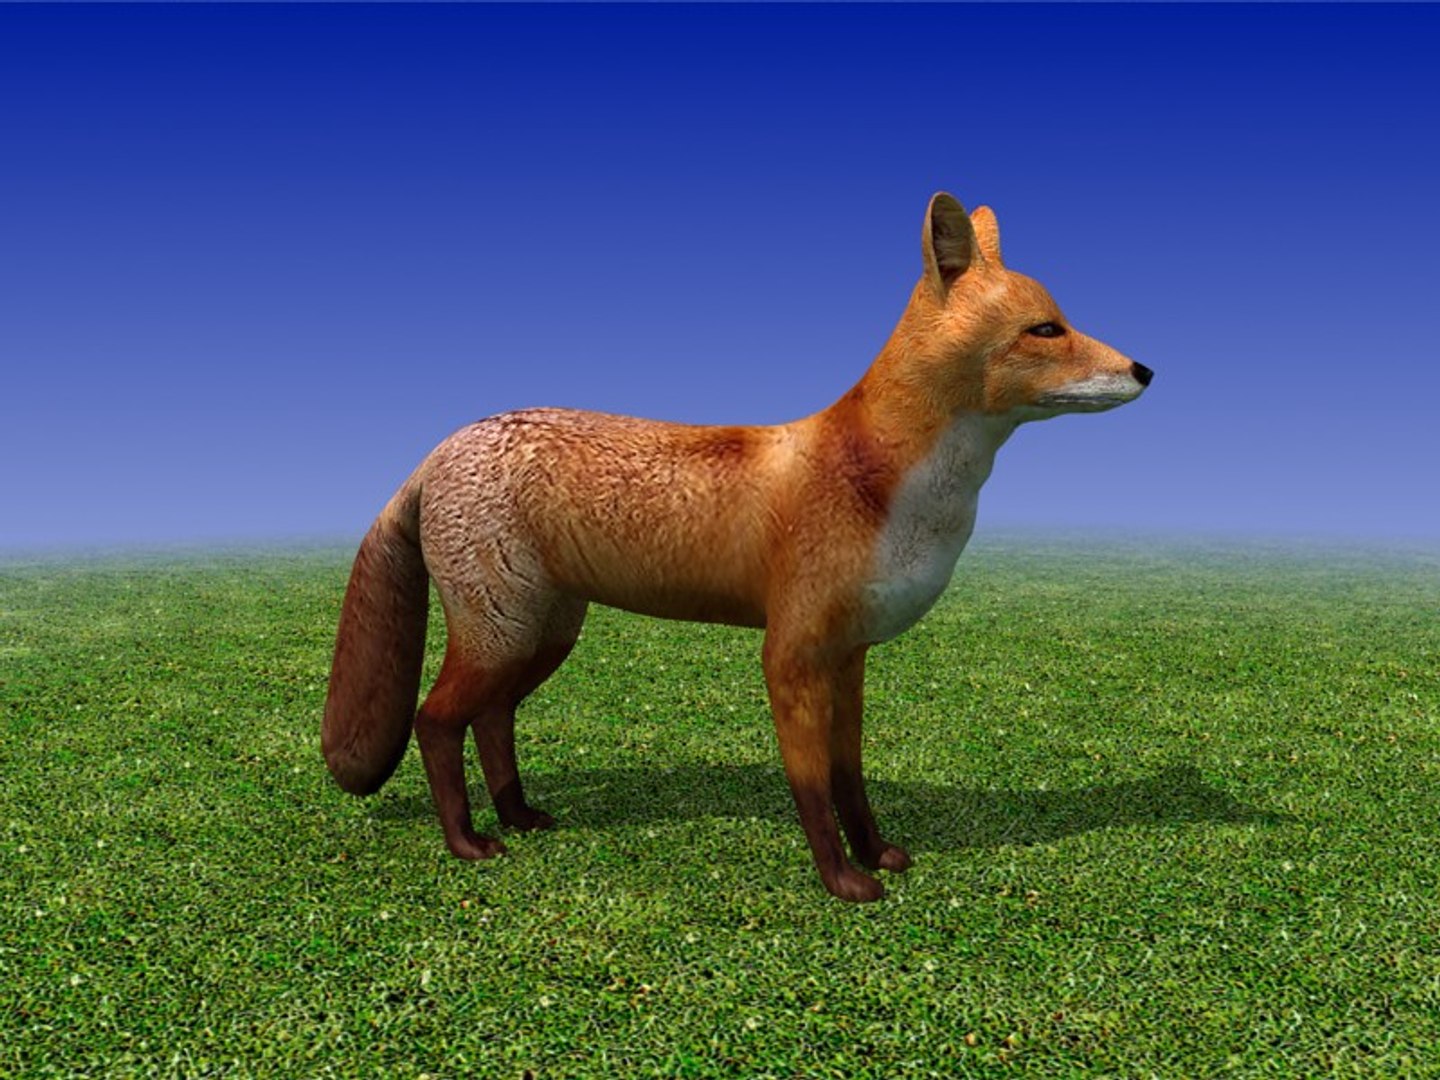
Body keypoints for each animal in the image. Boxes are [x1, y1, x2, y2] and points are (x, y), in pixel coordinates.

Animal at [322, 192, 1152, 902]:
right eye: (1047, 329)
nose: (1144, 368)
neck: (883, 480)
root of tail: (445, 444)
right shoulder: (790, 654)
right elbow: (812, 786)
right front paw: (842, 882)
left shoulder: (848, 655)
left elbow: (851, 777)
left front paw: (875, 852)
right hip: (504, 634)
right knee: (436, 722)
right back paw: (468, 842)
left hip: (543, 635)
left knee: (493, 721)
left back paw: (520, 816)